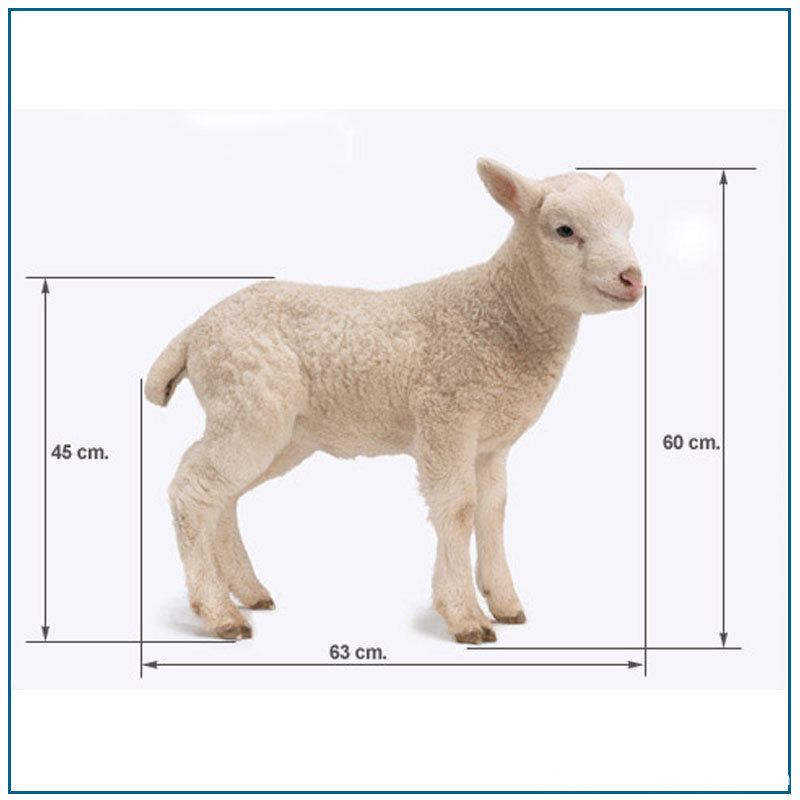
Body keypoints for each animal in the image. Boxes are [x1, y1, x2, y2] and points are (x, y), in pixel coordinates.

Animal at [145, 158, 643, 643]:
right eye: (564, 230)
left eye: (628, 224)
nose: (632, 279)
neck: (501, 313)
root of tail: (194, 331)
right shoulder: (446, 416)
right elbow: (457, 508)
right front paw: (465, 616)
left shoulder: (492, 442)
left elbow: (492, 511)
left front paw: (504, 603)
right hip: (248, 402)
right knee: (193, 489)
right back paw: (219, 613)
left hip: (281, 429)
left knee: (222, 493)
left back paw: (248, 591)